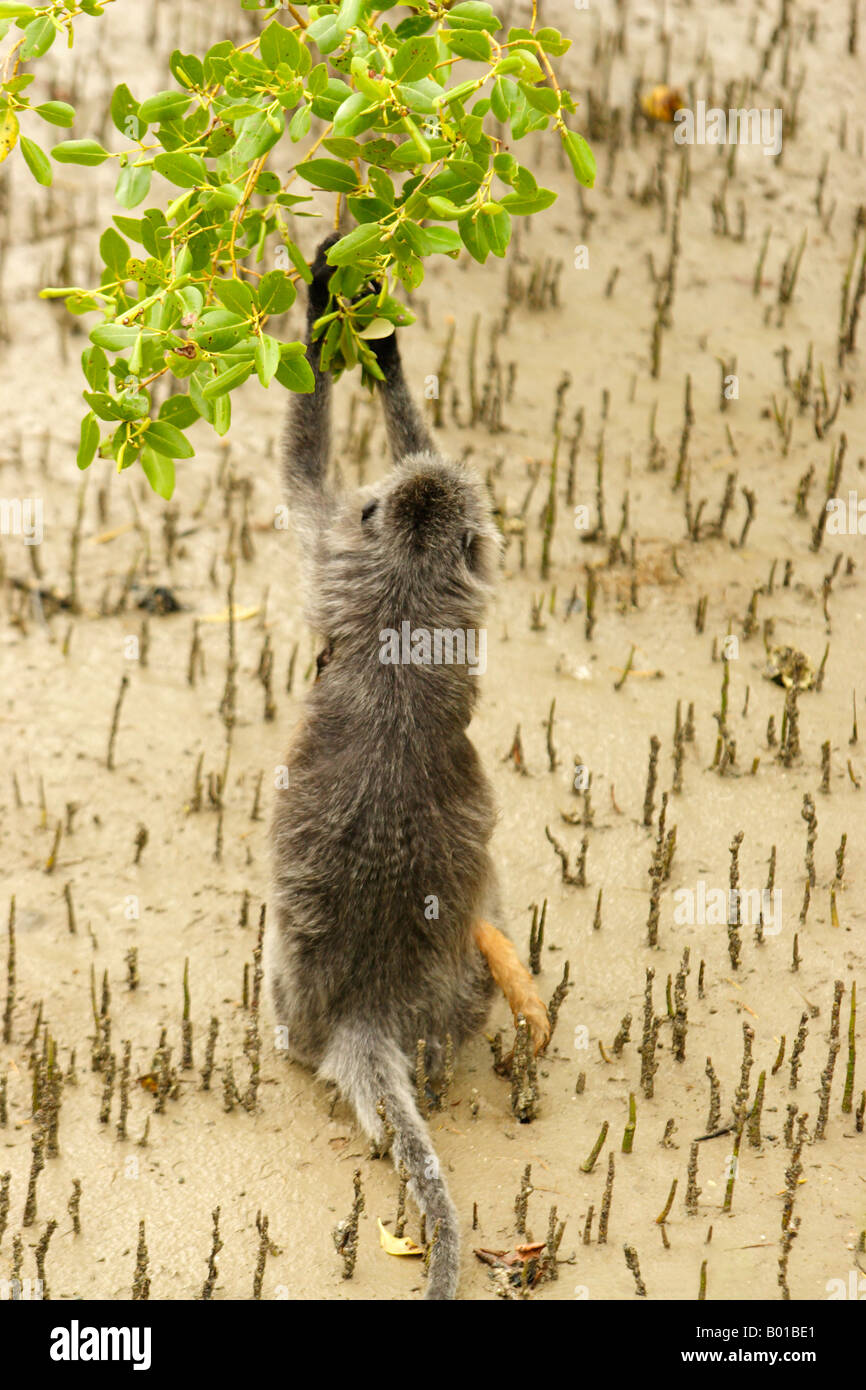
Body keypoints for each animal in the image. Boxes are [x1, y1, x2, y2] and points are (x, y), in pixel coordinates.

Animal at [265, 233, 548, 1300]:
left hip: (299, 1002)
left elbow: (303, 470)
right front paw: (369, 328)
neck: (409, 595)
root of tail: (366, 1008)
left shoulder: (336, 545)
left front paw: (336, 310)